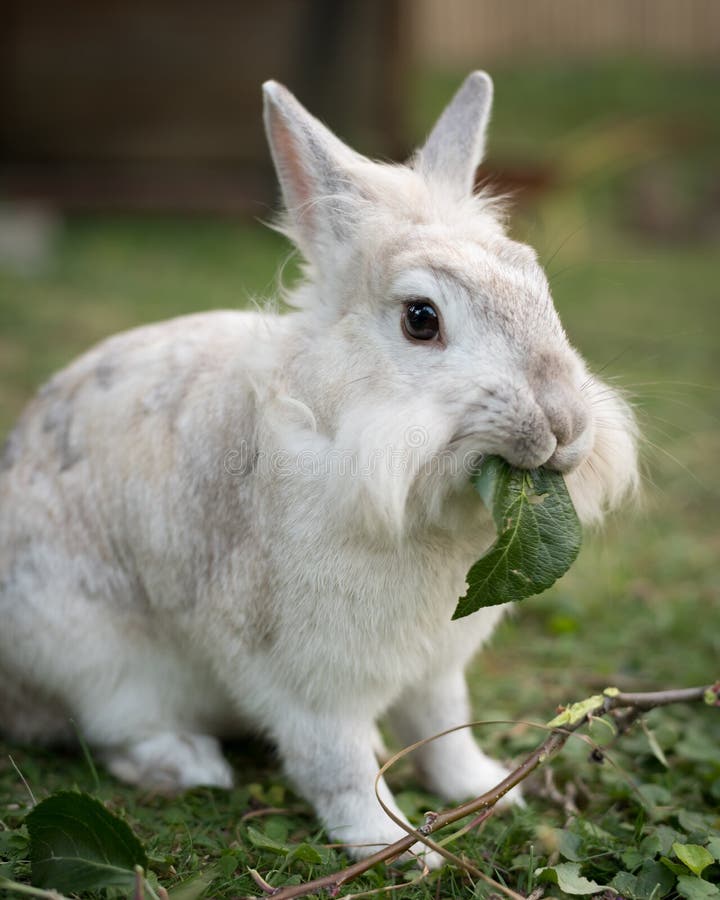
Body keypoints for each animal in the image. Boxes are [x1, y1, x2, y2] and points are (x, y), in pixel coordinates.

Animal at [0, 72, 638, 863]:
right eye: (421, 318)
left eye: (538, 287)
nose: (564, 425)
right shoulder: (310, 682)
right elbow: (337, 765)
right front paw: (396, 847)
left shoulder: (436, 670)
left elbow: (444, 732)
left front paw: (488, 787)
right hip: (99, 665)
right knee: (116, 733)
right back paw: (188, 763)